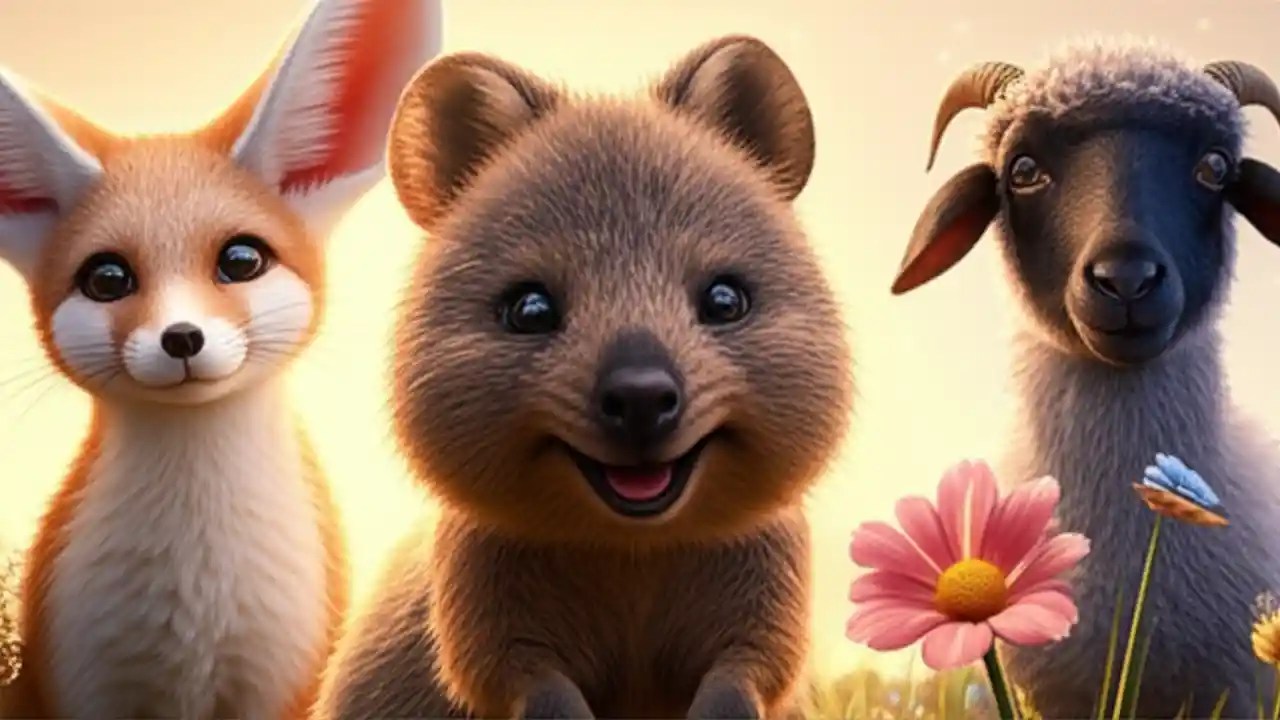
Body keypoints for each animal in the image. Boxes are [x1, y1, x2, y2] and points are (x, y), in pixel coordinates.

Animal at [0, 0, 442, 717]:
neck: (196, 597)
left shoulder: (284, 675)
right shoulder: (80, 677)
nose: (181, 337)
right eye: (107, 278)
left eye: (240, 260)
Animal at [316, 36, 854, 719]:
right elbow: (545, 696)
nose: (641, 397)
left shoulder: (763, 626)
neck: (632, 553)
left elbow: (737, 686)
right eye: (529, 309)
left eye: (726, 299)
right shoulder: (499, 645)